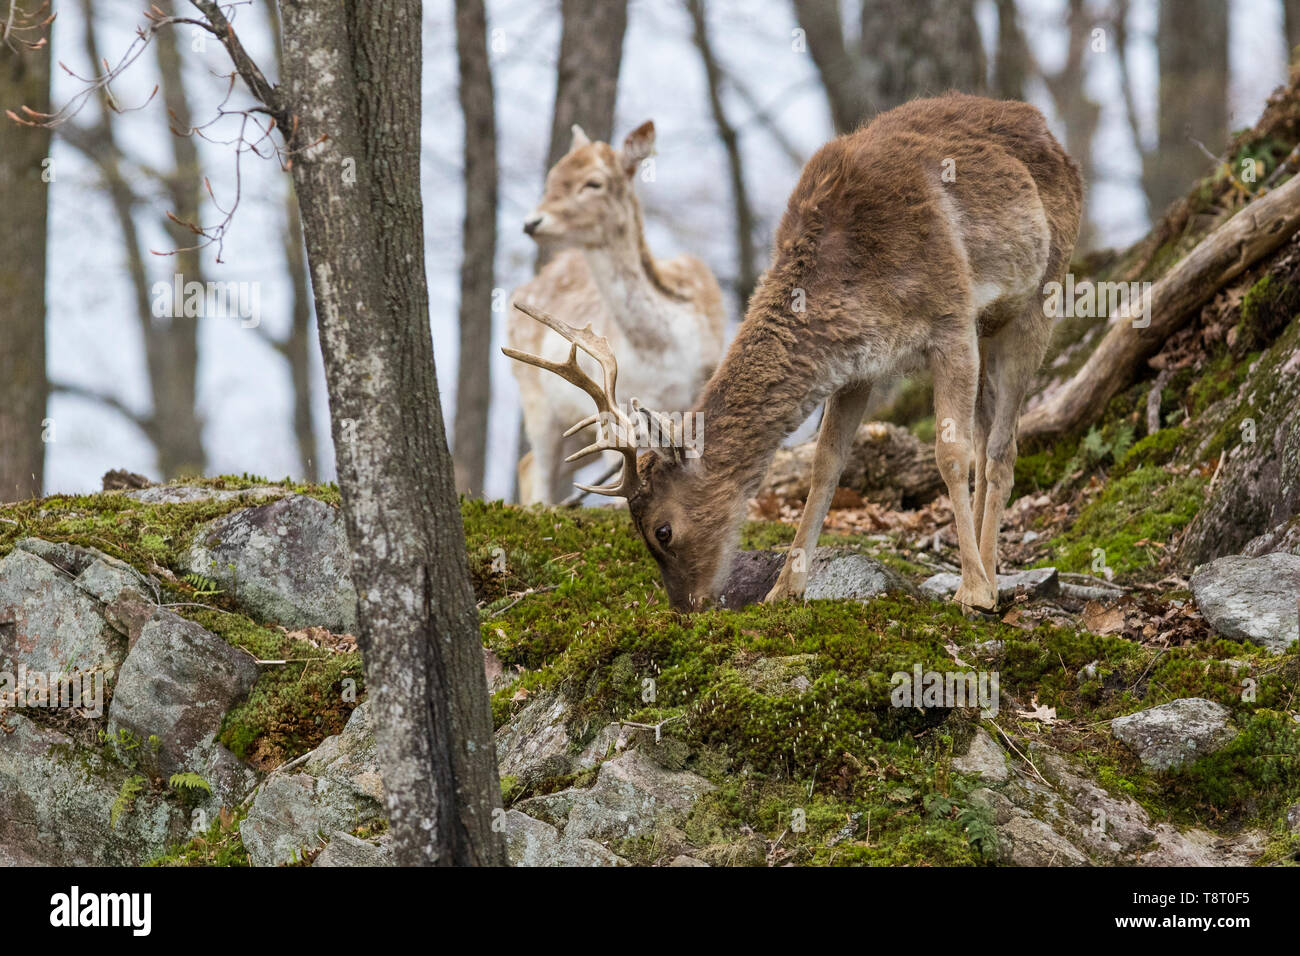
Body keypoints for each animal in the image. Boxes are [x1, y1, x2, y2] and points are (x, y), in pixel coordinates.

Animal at [508, 121, 727, 504]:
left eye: (593, 182)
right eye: (553, 177)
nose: (532, 222)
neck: (662, 349)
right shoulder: (617, 407)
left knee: (529, 464)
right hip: (537, 402)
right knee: (538, 476)